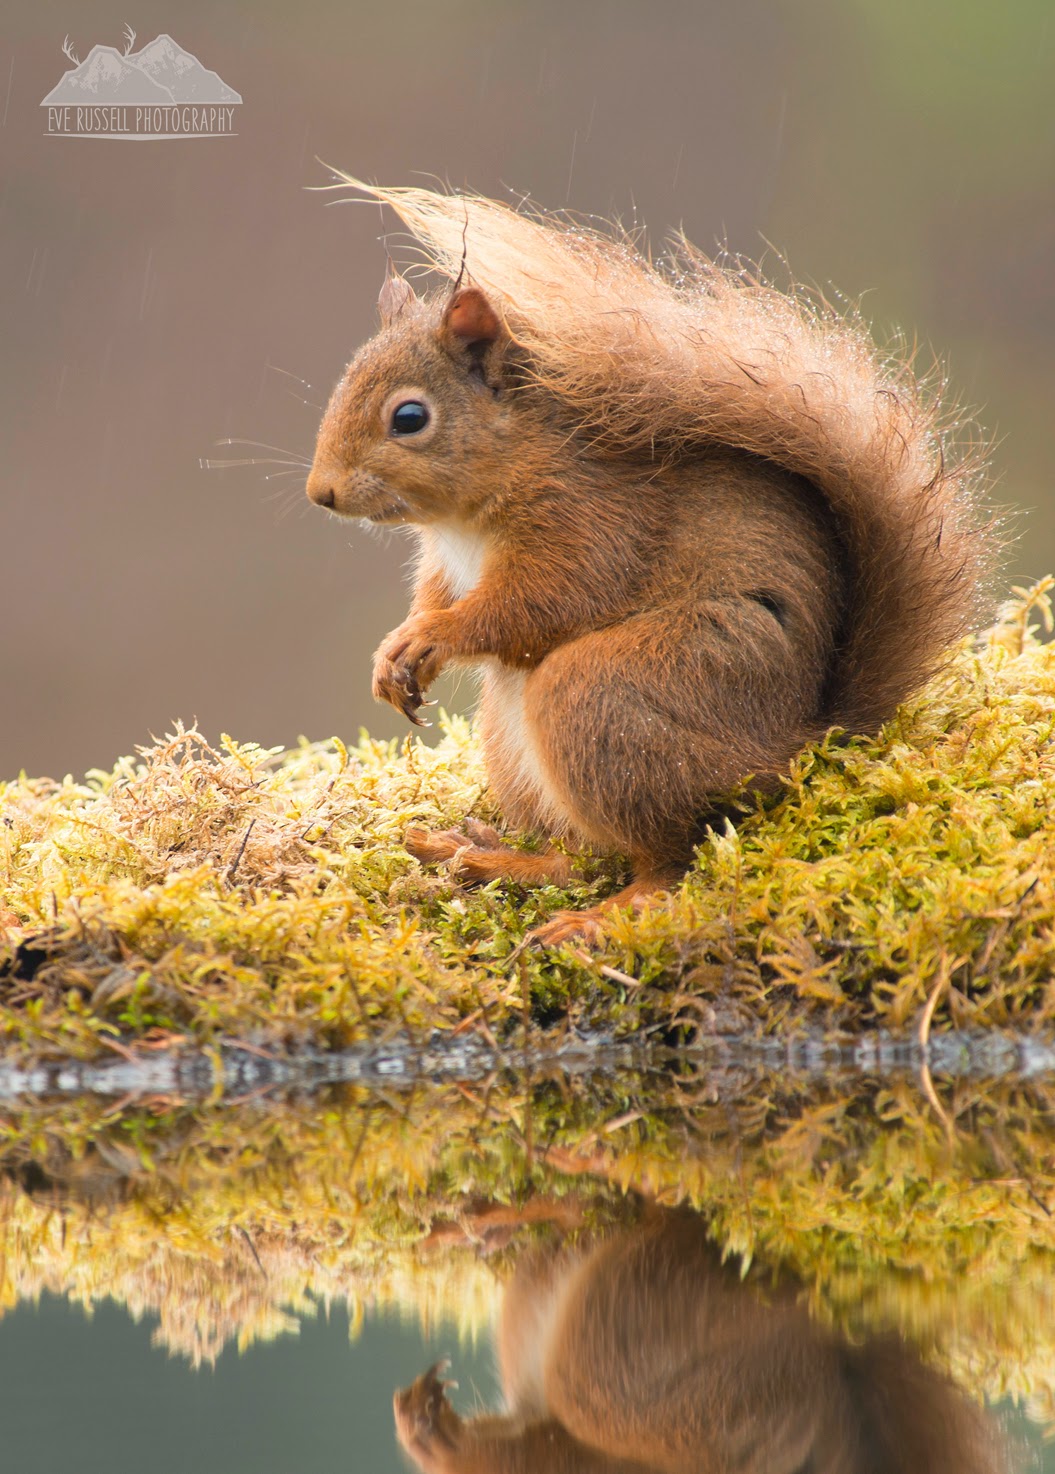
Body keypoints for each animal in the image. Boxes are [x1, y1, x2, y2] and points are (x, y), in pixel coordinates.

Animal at [306, 181, 991, 945]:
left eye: (409, 418)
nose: (320, 493)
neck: (471, 506)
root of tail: (802, 743)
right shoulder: (447, 563)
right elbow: (434, 595)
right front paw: (393, 652)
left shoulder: (590, 519)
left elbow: (540, 601)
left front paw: (435, 638)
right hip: (514, 740)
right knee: (578, 856)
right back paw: (488, 857)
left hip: (611, 693)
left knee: (667, 860)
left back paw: (598, 917)